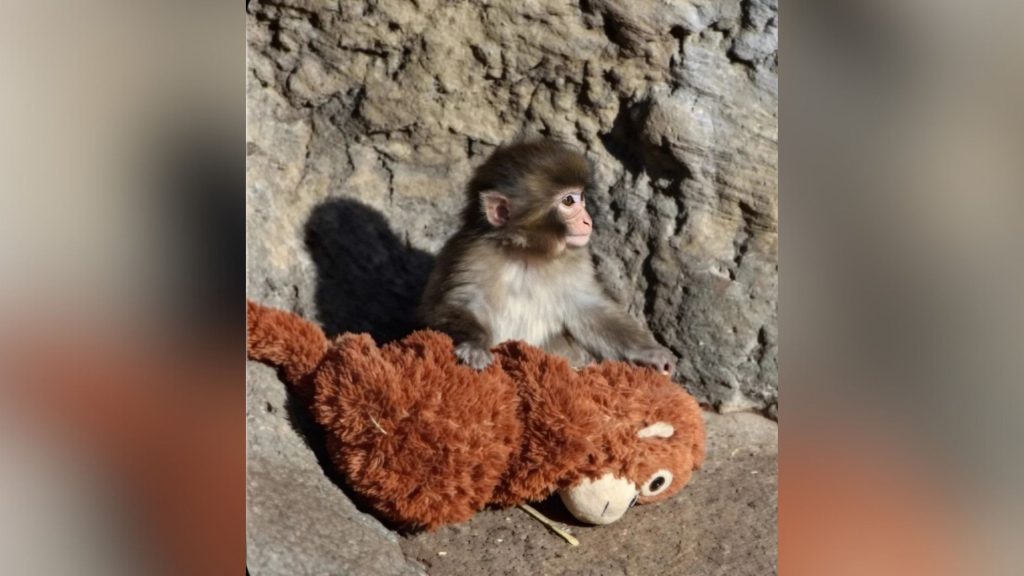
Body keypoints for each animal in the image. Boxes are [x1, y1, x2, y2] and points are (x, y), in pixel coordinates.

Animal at [418, 138, 677, 375]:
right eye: (569, 201)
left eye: (581, 197)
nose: (587, 220)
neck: (527, 253)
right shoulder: (472, 255)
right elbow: (453, 305)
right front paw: (474, 346)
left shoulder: (575, 259)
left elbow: (589, 309)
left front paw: (651, 353)